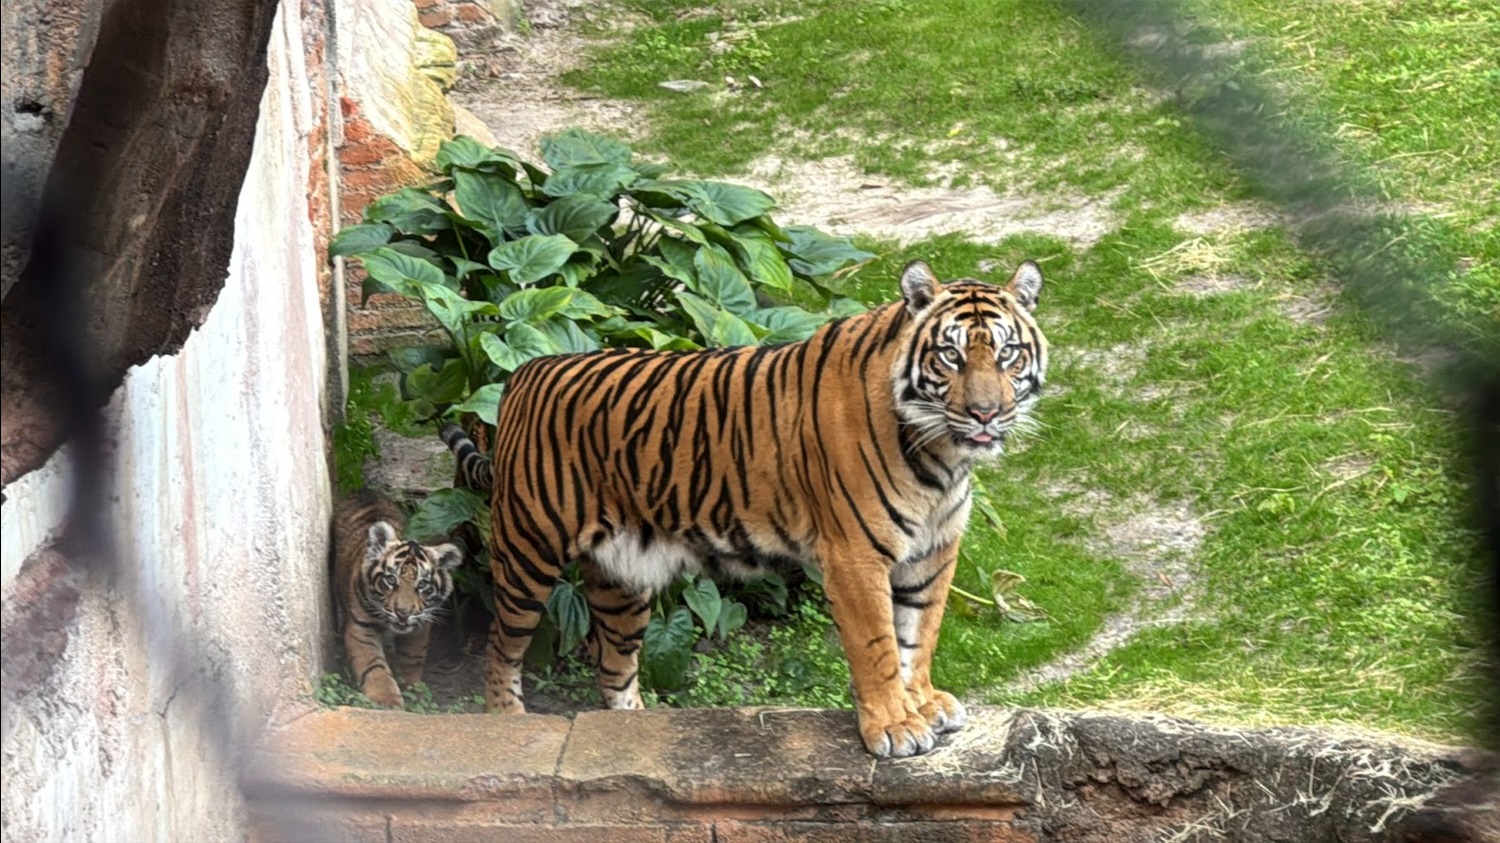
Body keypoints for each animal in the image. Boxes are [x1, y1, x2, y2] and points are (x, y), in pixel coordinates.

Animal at [331, 490, 462, 708]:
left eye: (422, 584)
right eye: (391, 580)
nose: (403, 613)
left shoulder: (419, 626)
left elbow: (412, 658)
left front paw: (414, 691)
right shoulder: (361, 627)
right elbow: (374, 665)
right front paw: (387, 700)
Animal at [449, 259, 1047, 757]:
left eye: (1007, 353)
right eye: (950, 355)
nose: (986, 413)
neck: (941, 458)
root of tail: (524, 371)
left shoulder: (933, 552)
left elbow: (918, 635)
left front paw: (921, 702)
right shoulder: (855, 557)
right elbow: (879, 645)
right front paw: (895, 725)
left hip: (624, 579)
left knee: (615, 668)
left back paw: (631, 731)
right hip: (528, 552)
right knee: (501, 647)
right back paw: (507, 722)